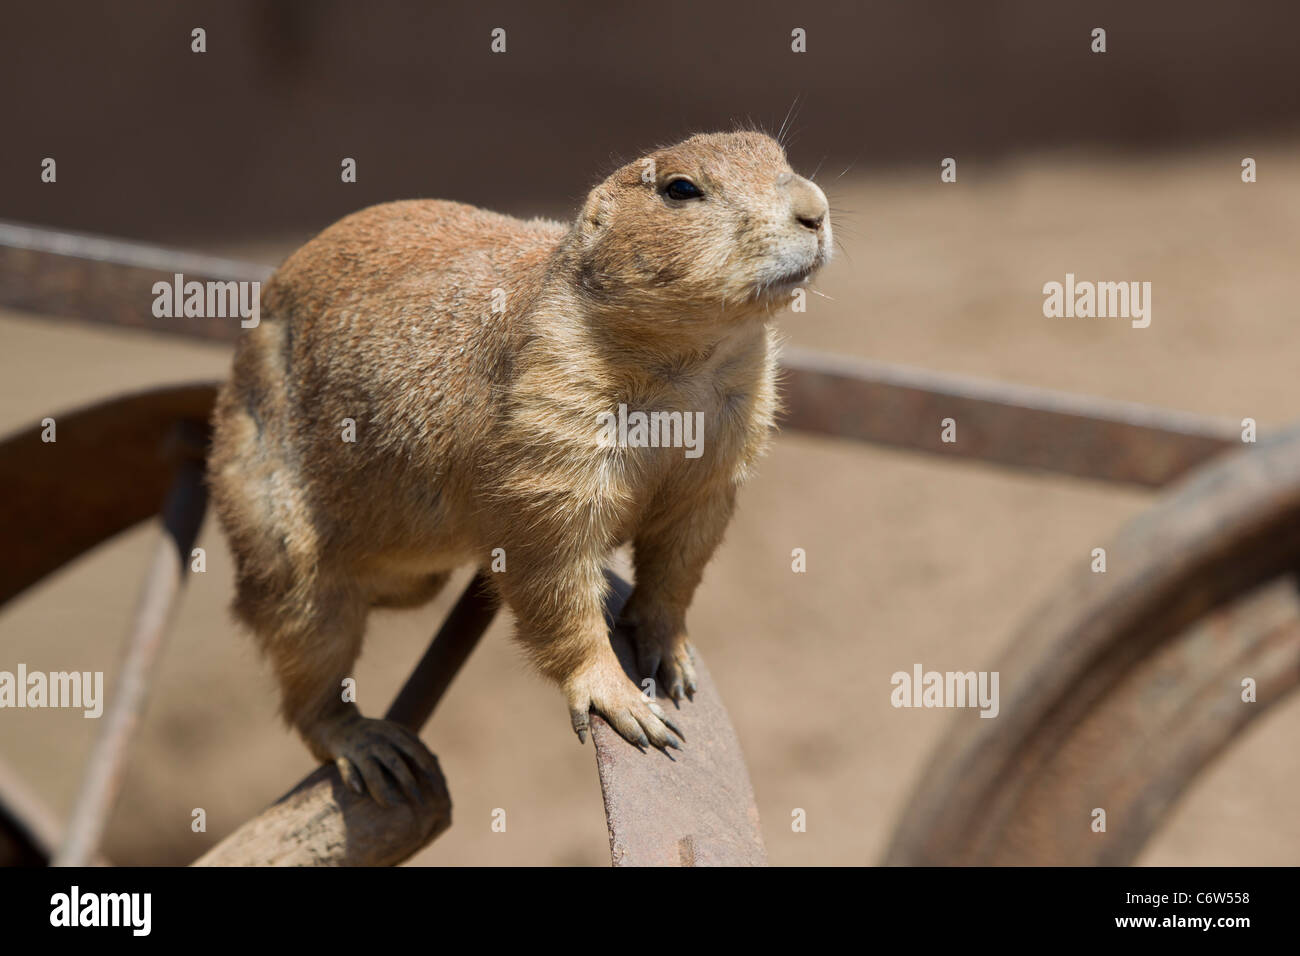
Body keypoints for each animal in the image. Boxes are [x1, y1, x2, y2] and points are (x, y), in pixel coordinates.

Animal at [207, 131, 831, 804]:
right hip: (276, 532)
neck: (692, 367)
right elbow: (551, 566)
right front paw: (622, 701)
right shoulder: (546, 424)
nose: (816, 209)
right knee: (307, 672)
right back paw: (370, 744)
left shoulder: (727, 444)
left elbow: (682, 556)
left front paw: (672, 655)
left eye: (778, 154)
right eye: (680, 189)